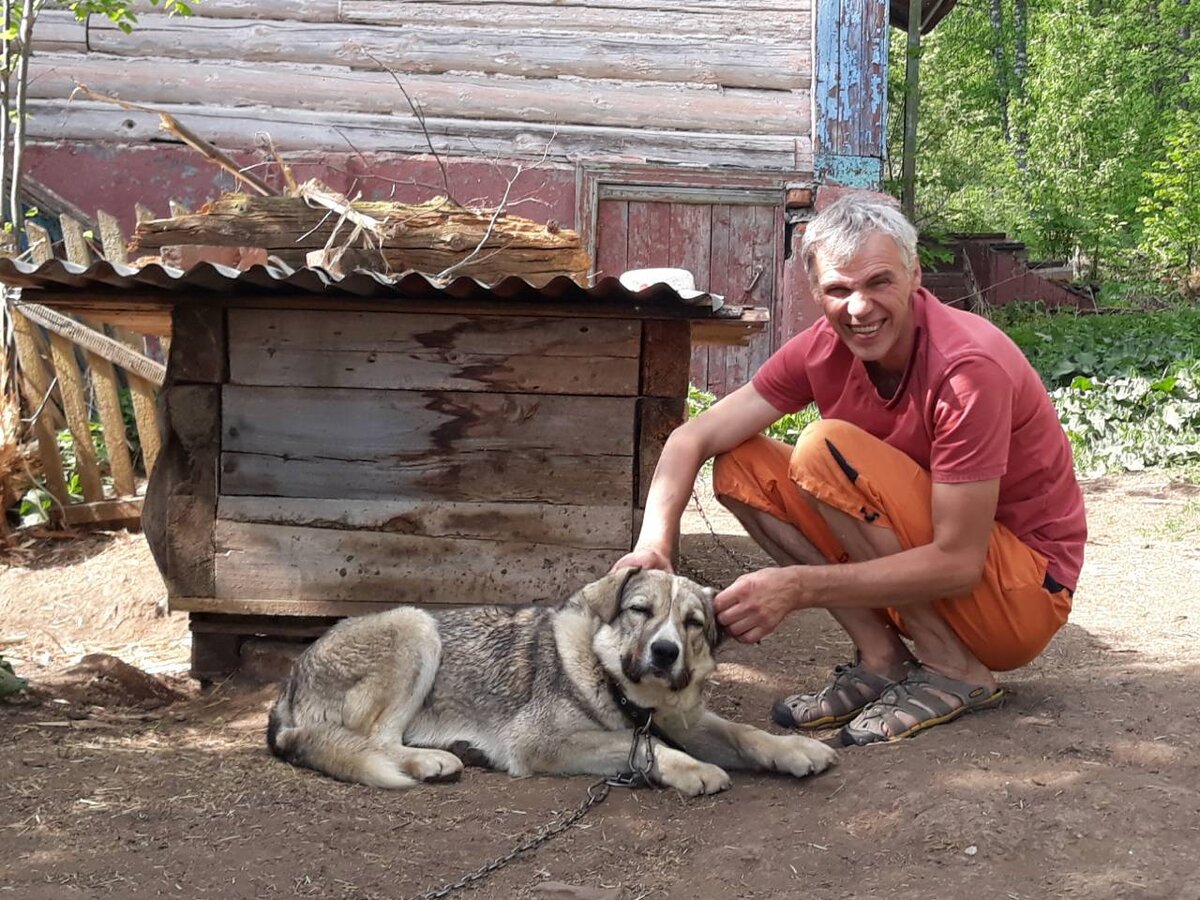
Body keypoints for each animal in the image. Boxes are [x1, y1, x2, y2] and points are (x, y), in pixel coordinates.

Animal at [268, 571, 840, 796]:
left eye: (693, 623)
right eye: (641, 611)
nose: (665, 651)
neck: (623, 692)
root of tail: (288, 692)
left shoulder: (689, 721)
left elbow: (745, 733)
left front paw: (794, 749)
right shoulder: (542, 741)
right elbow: (646, 745)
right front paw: (692, 770)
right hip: (416, 626)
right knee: (377, 741)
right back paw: (432, 760)